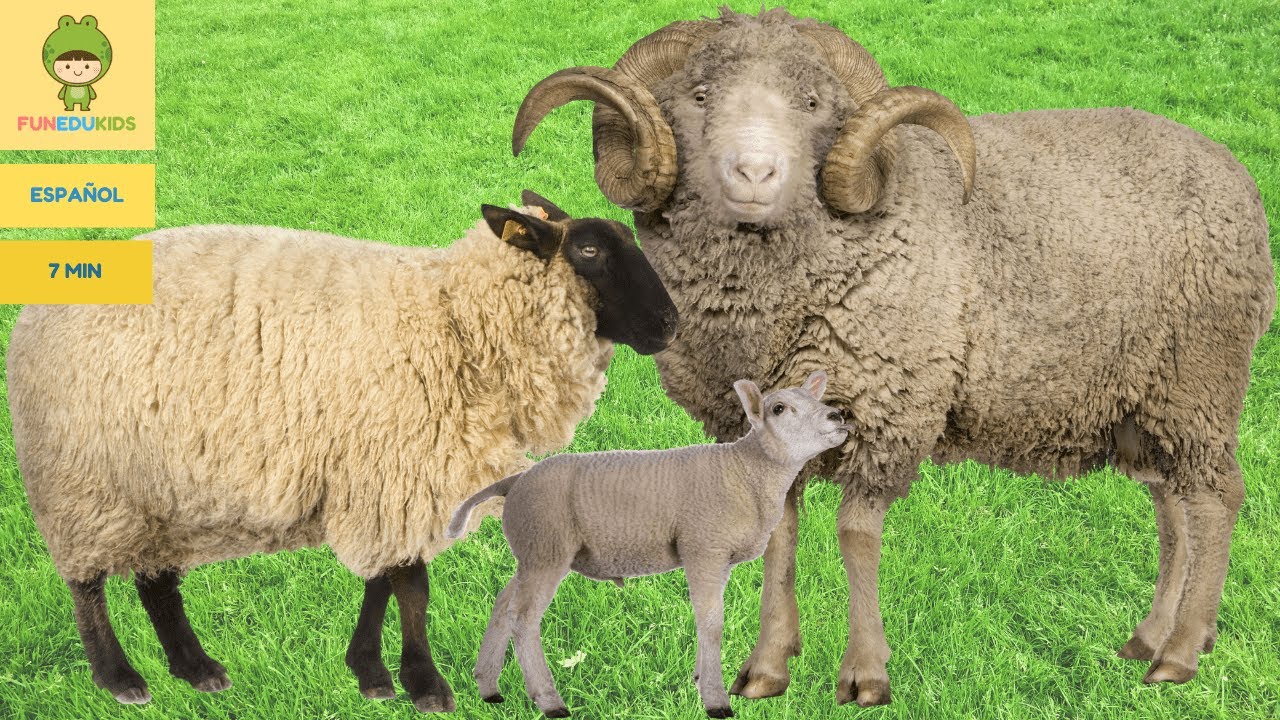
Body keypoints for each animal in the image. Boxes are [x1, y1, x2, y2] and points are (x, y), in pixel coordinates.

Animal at [5, 190, 679, 710]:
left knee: (155, 581)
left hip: (158, 486)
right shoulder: (393, 465)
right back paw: (118, 678)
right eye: (588, 251)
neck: (455, 321)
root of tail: (32, 311)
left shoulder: (381, 477)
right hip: (83, 483)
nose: (671, 325)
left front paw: (372, 673)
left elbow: (384, 579)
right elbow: (411, 586)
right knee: (86, 585)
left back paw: (196, 669)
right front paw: (424, 684)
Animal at [447, 370, 848, 718]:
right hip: (548, 547)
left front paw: (699, 678)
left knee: (503, 605)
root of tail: (513, 482)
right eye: (778, 408)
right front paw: (715, 700)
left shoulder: (718, 559)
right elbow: (712, 621)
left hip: (532, 549)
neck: (746, 473)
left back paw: (488, 687)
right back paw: (549, 702)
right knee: (524, 618)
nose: (838, 415)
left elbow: (707, 619)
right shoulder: (704, 547)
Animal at [510, 7, 1277, 706]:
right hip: (1140, 403)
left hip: (1198, 379)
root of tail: (1238, 177)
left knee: (1216, 500)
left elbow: (856, 535)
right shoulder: (766, 431)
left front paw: (865, 675)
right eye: (698, 96)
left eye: (812, 103)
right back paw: (1151, 636)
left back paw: (1179, 654)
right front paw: (767, 668)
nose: (755, 171)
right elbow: (781, 535)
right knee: (1172, 505)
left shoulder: (890, 405)